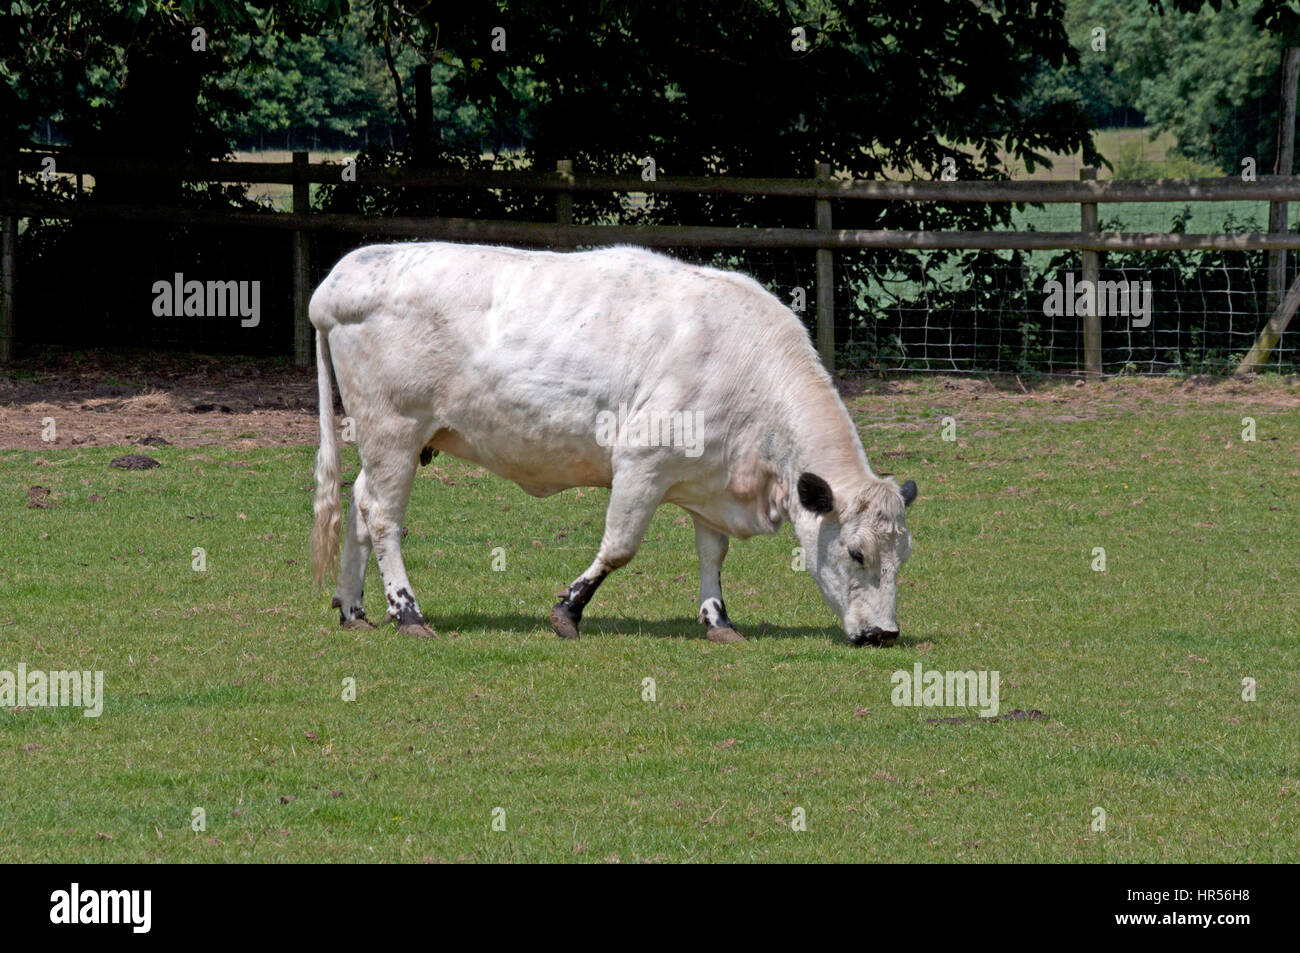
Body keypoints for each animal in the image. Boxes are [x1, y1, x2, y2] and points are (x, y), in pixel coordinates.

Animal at [309, 242, 917, 646]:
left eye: (903, 555)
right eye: (856, 552)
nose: (885, 633)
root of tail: (341, 278)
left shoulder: (709, 476)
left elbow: (712, 553)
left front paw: (719, 620)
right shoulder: (642, 462)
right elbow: (619, 547)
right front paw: (568, 612)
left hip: (391, 442)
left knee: (360, 504)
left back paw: (353, 607)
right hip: (393, 428)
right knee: (383, 517)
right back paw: (407, 613)